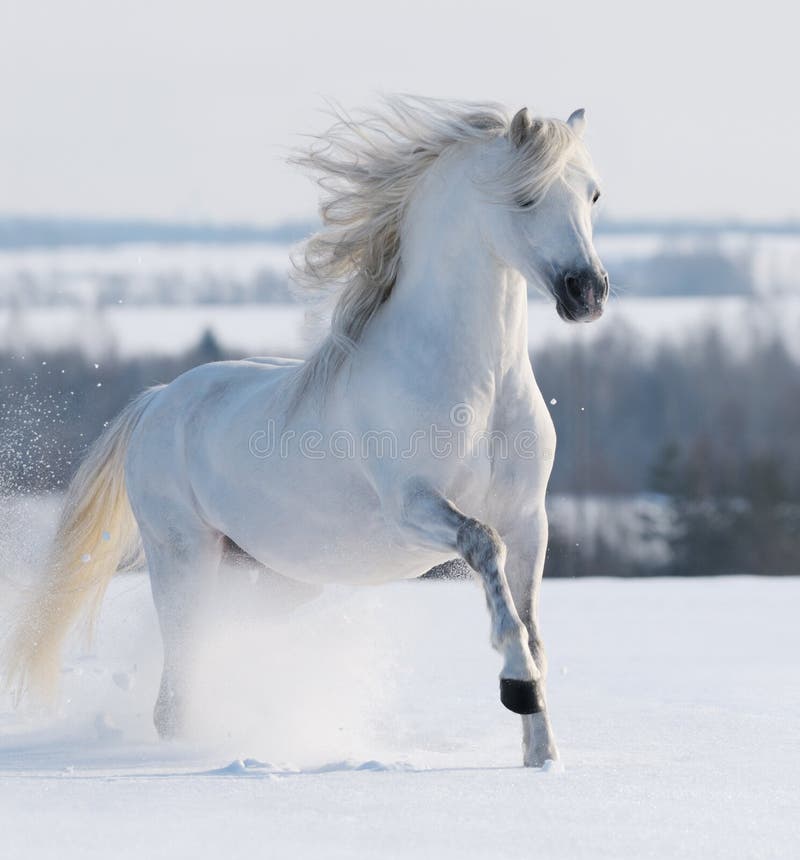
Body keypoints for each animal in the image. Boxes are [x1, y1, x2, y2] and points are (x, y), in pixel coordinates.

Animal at [5, 96, 607, 768]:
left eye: (593, 194)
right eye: (525, 198)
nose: (588, 292)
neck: (483, 387)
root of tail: (159, 400)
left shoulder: (530, 519)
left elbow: (532, 624)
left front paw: (542, 753)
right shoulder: (413, 506)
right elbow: (486, 552)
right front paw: (517, 687)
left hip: (273, 578)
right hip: (183, 555)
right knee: (175, 689)